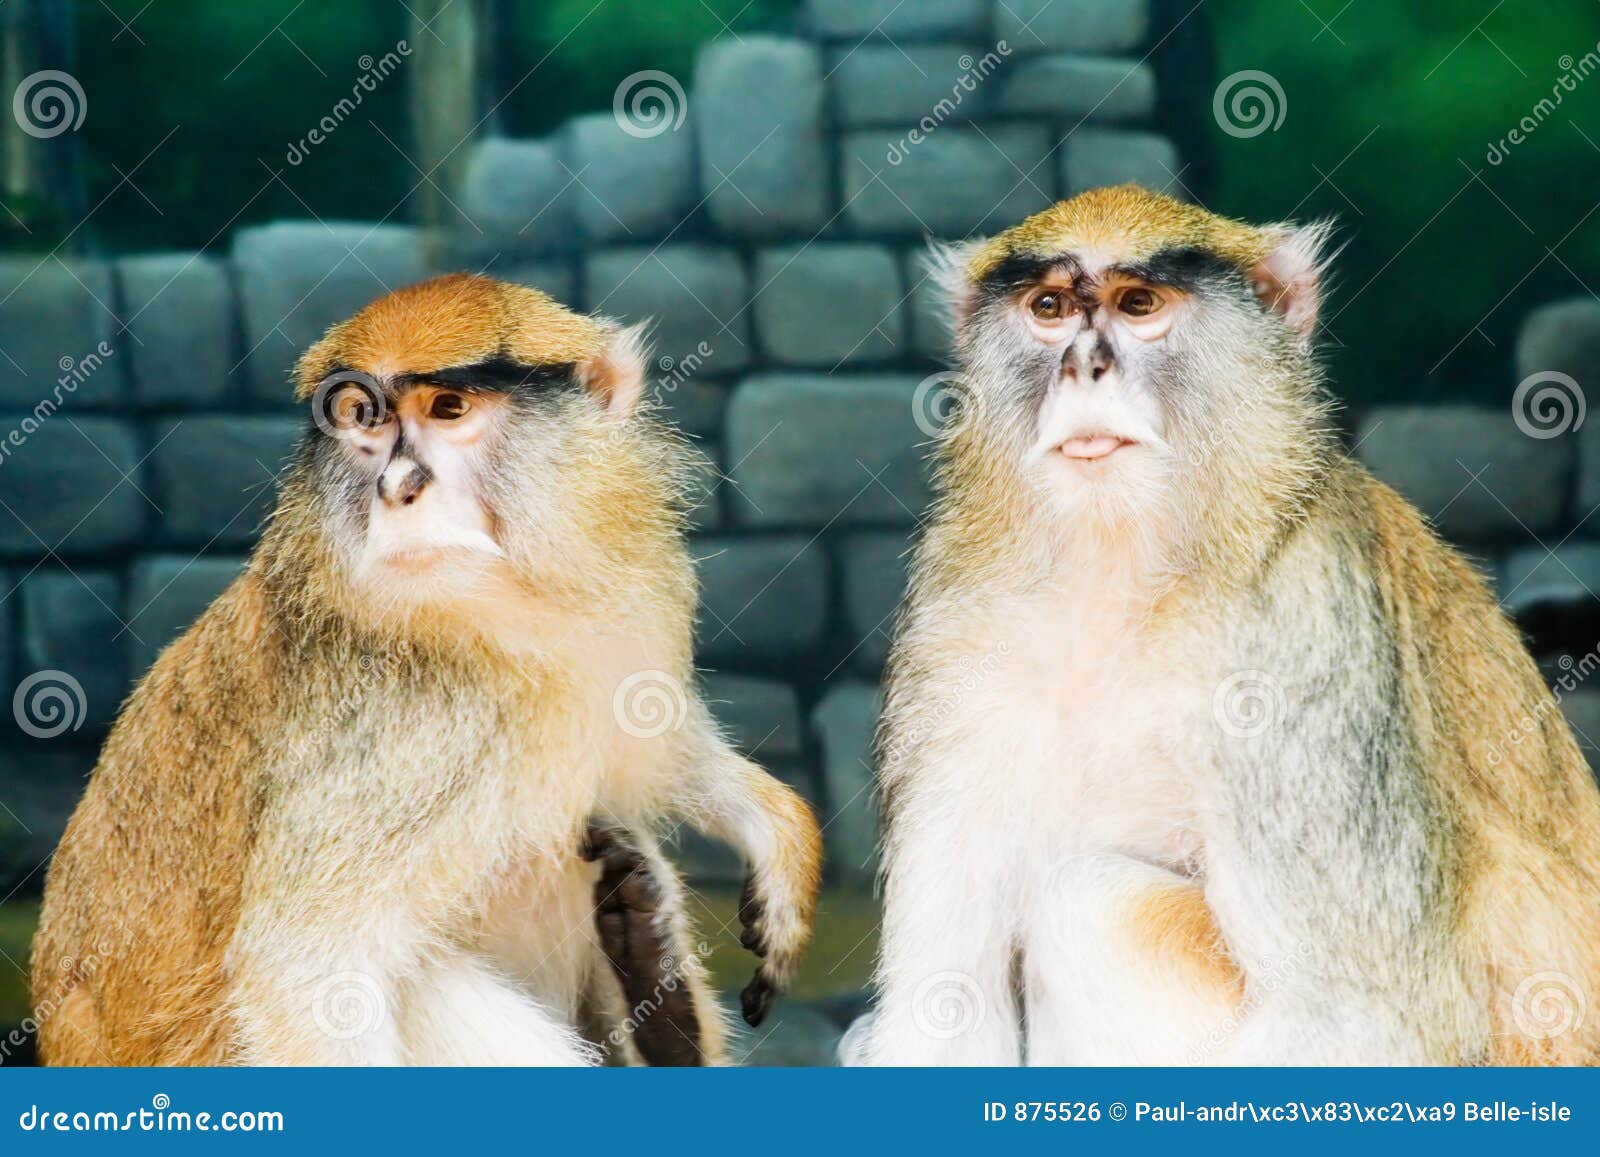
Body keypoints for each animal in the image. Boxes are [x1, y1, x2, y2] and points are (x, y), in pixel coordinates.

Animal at [30, 273, 822, 1066]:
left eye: (449, 408)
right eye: (361, 418)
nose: (399, 487)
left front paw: (768, 820)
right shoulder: (416, 729)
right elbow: (309, 975)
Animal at [853, 186, 1600, 1066]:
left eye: (1139, 305)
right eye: (1048, 309)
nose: (1084, 366)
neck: (1127, 575)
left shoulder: (1298, 631)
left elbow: (1368, 1026)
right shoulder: (954, 628)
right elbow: (942, 1013)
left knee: (1086, 905)